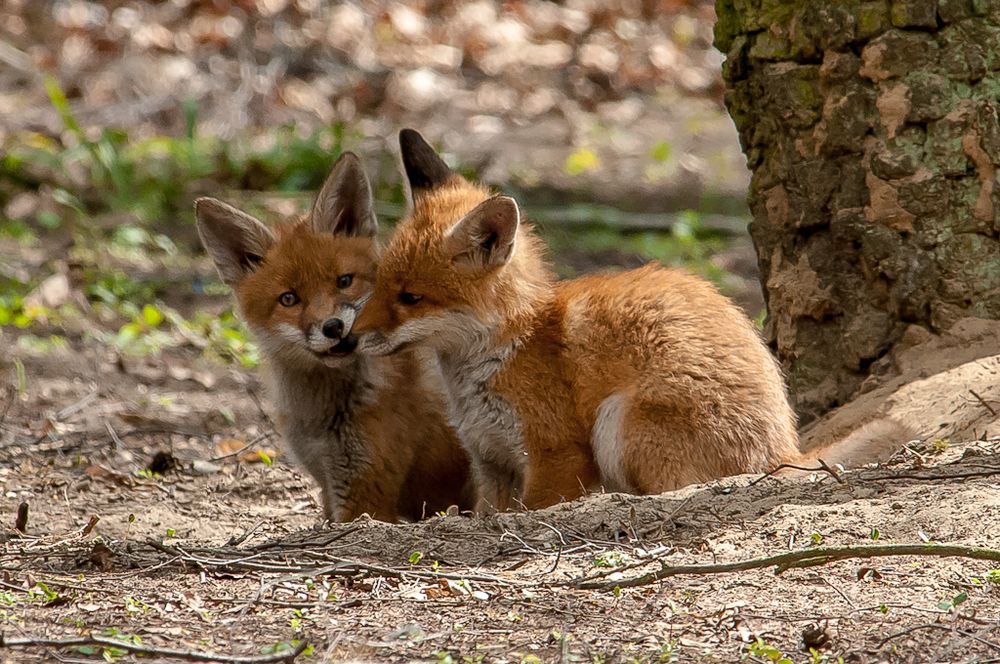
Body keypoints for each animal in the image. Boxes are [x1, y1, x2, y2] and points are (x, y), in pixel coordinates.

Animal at [194, 152, 472, 522]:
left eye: (344, 281)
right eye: (289, 299)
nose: (334, 327)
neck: (322, 418)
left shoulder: (365, 490)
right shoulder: (328, 483)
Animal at [353, 129, 909, 512]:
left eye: (410, 297)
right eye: (377, 284)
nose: (348, 336)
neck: (506, 347)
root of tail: (783, 450)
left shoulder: (558, 454)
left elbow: (539, 507)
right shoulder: (491, 464)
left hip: (618, 422)